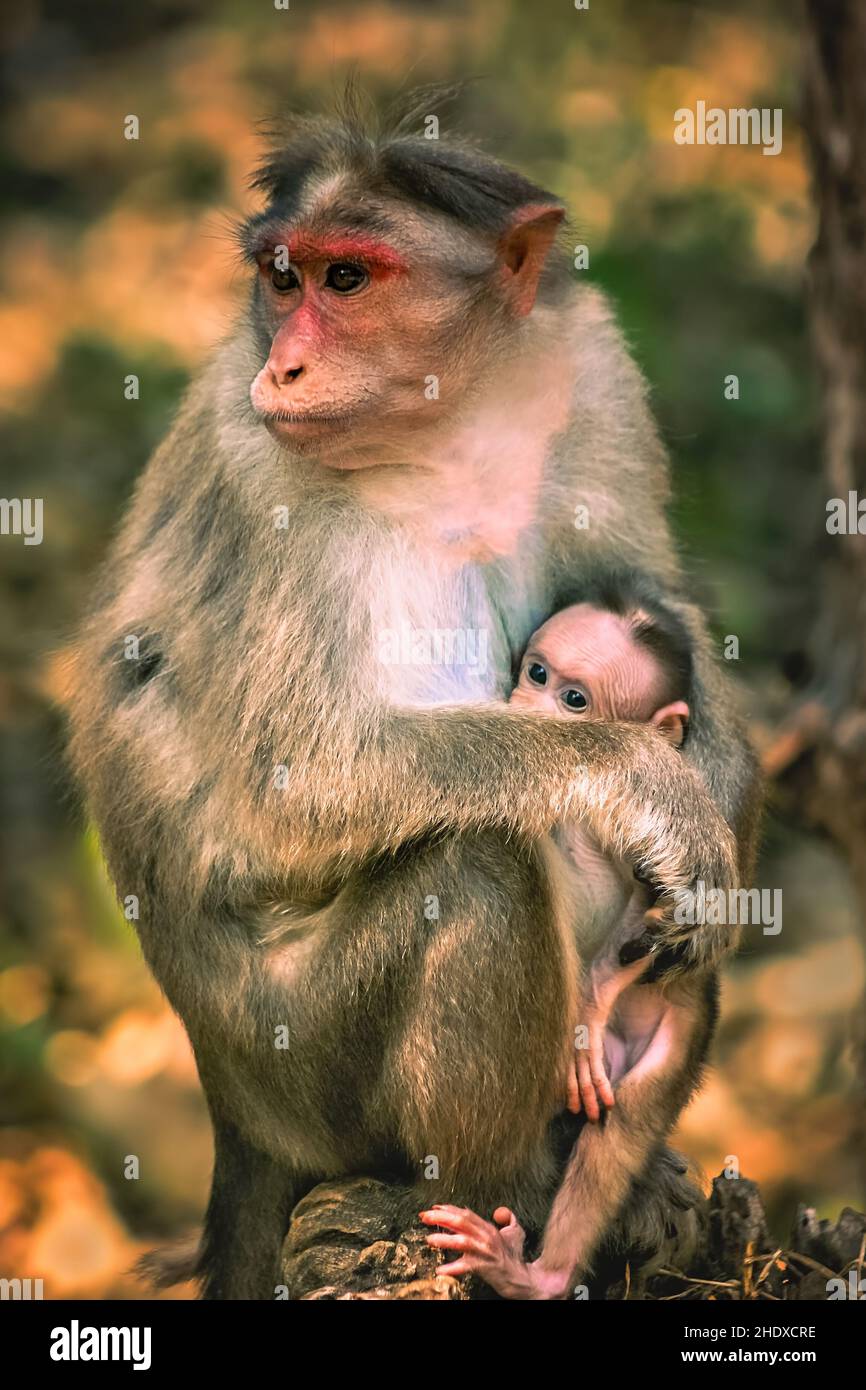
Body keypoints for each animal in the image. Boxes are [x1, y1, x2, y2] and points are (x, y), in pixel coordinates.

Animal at [421, 582, 721, 1297]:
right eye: (537, 673)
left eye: (575, 698)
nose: (527, 706)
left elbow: (658, 907)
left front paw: (589, 1008)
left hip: (668, 1037)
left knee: (624, 1125)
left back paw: (542, 1275)